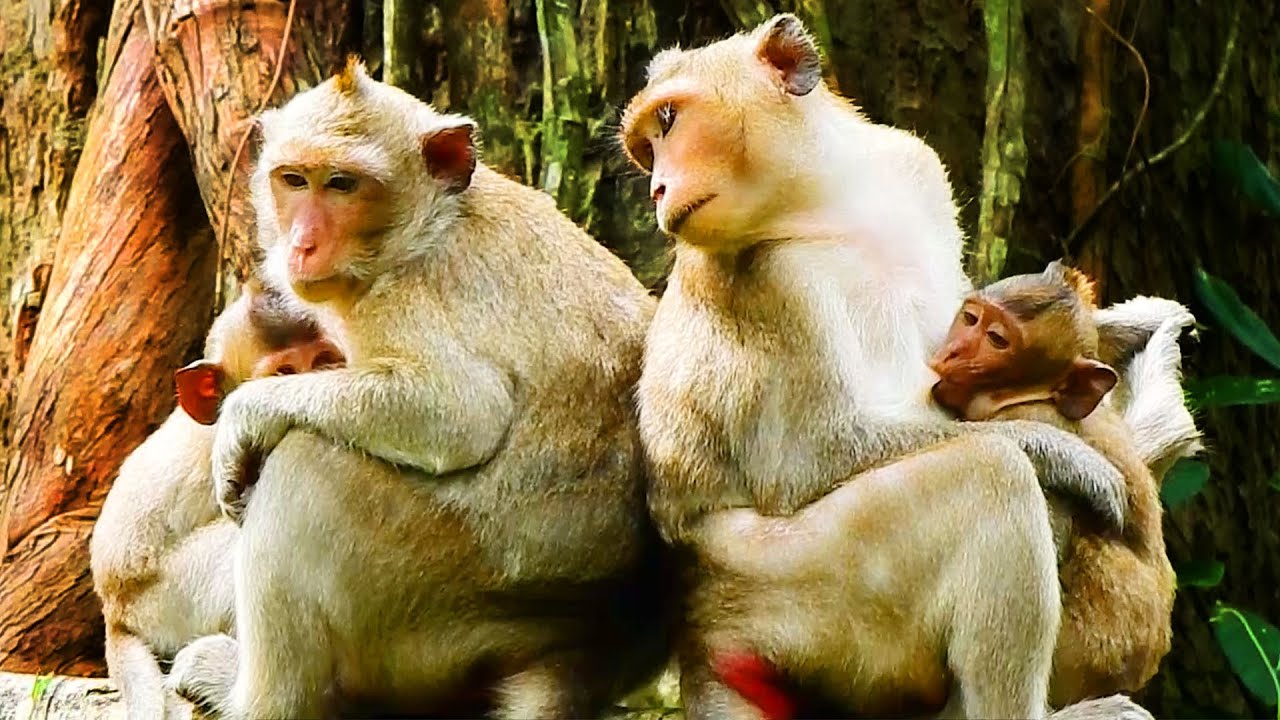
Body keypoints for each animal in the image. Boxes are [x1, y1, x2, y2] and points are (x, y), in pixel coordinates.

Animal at [165, 58, 667, 719]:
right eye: (294, 180)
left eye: (343, 185)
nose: (301, 243)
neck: (427, 229)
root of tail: (574, 653)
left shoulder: (401, 299)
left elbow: (460, 412)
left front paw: (243, 419)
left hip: (435, 596)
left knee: (305, 468)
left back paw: (253, 696)